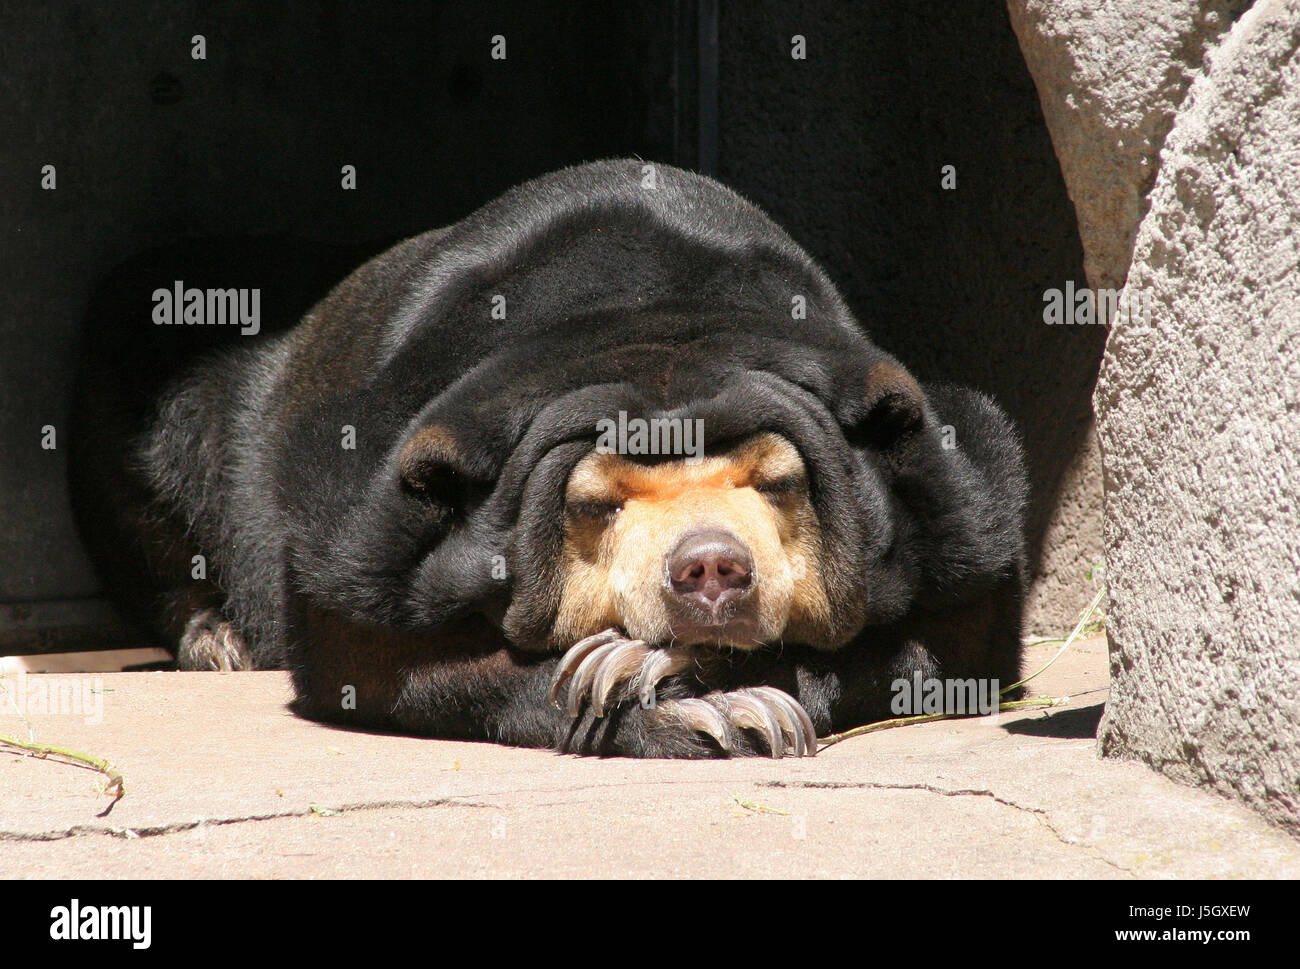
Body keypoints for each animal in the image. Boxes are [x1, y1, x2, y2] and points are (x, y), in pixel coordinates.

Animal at [69, 159, 1028, 758]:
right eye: (594, 504)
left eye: (781, 482)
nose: (711, 568)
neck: (651, 313)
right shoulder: (358, 519)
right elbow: (373, 652)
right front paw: (664, 701)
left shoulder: (960, 499)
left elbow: (949, 637)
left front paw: (699, 680)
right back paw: (217, 636)